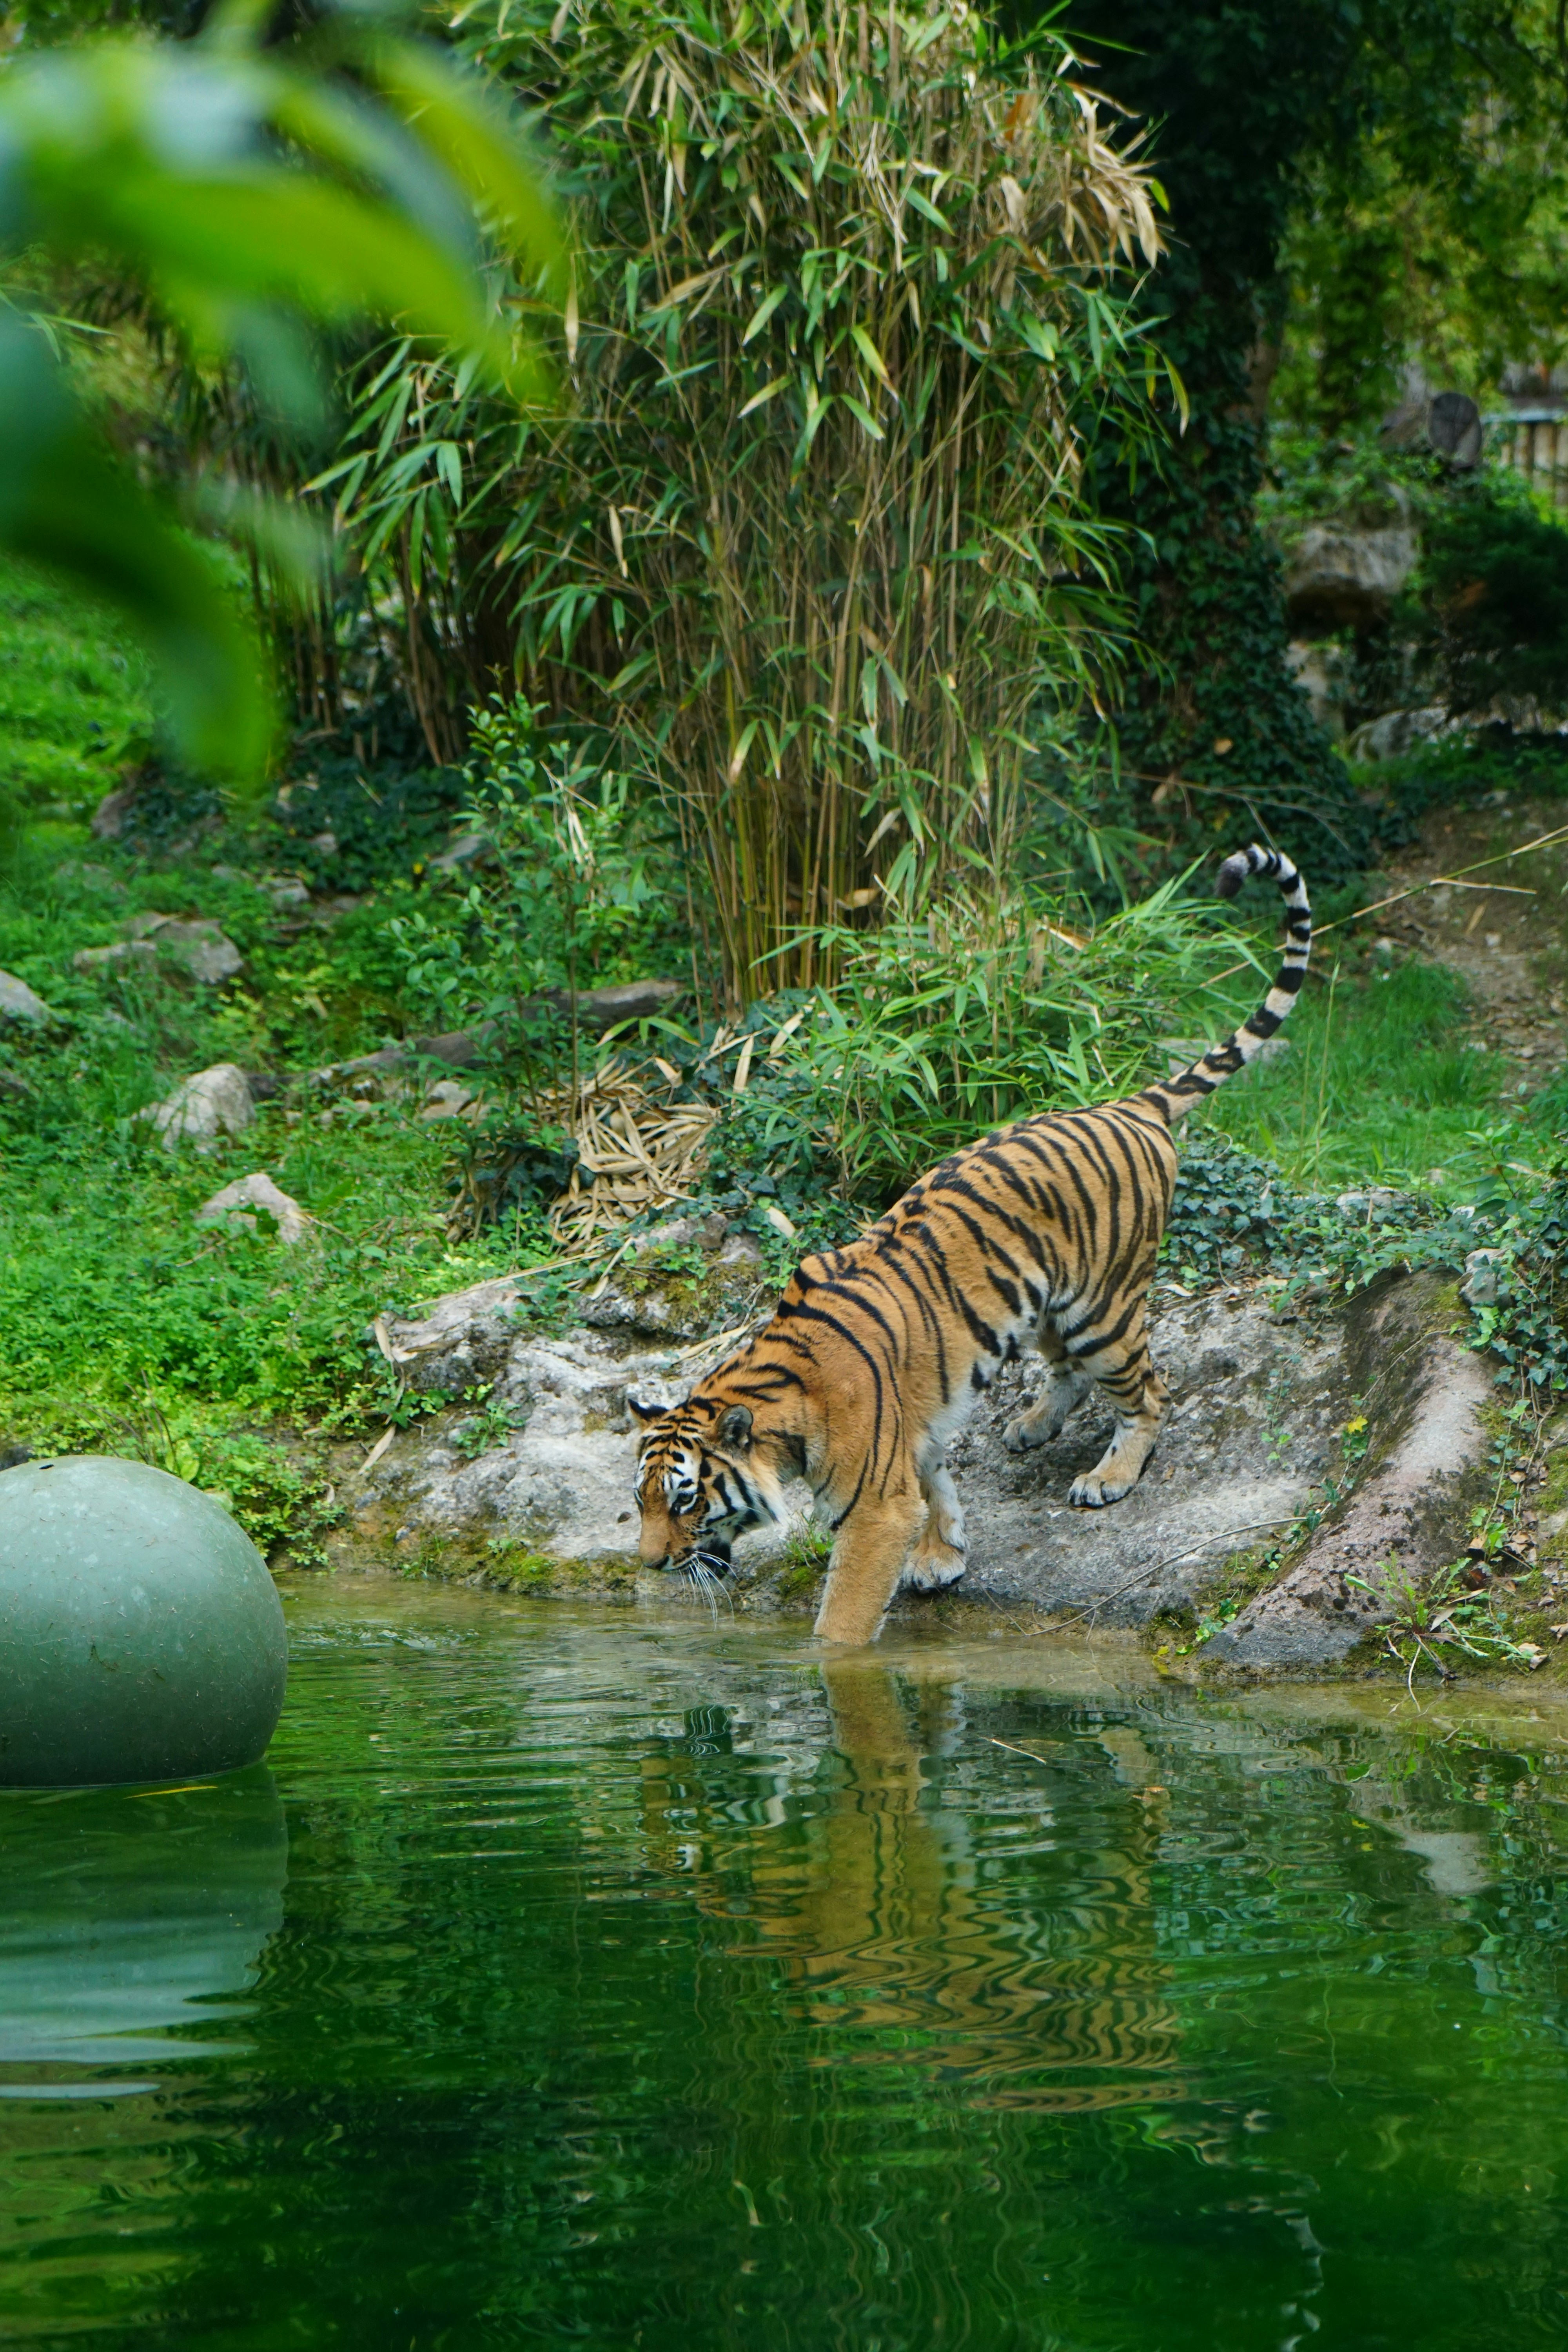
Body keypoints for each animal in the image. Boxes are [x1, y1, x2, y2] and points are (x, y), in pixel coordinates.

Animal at [630, 843, 1312, 1645]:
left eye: (685, 1499)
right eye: (641, 1499)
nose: (647, 1565)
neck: (779, 1403)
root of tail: (1128, 1104)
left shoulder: (872, 1507)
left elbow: (845, 1617)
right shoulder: (915, 1430)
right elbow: (937, 1483)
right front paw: (944, 1552)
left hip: (1102, 1310)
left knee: (1150, 1391)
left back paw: (1108, 1478)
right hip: (1042, 1305)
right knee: (1071, 1371)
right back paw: (1033, 1426)